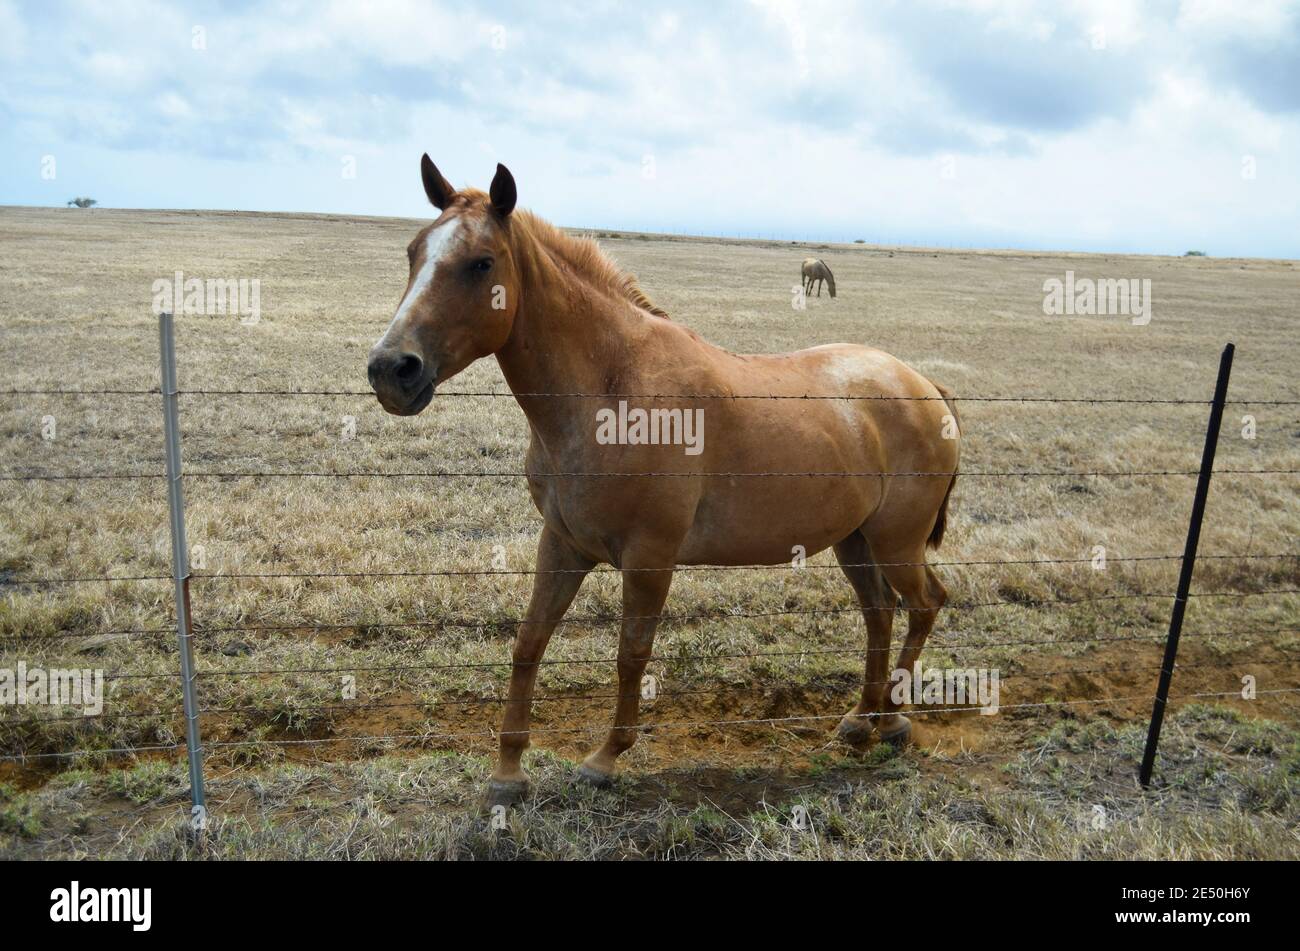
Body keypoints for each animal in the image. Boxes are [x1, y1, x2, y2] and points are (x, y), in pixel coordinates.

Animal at [368, 156, 960, 806]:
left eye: (481, 263)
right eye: (413, 252)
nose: (392, 369)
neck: (612, 390)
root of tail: (925, 386)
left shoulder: (649, 557)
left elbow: (631, 654)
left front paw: (605, 758)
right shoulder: (564, 545)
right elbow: (528, 644)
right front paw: (508, 773)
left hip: (896, 543)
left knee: (924, 604)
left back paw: (893, 720)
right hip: (855, 542)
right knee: (879, 612)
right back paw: (860, 719)